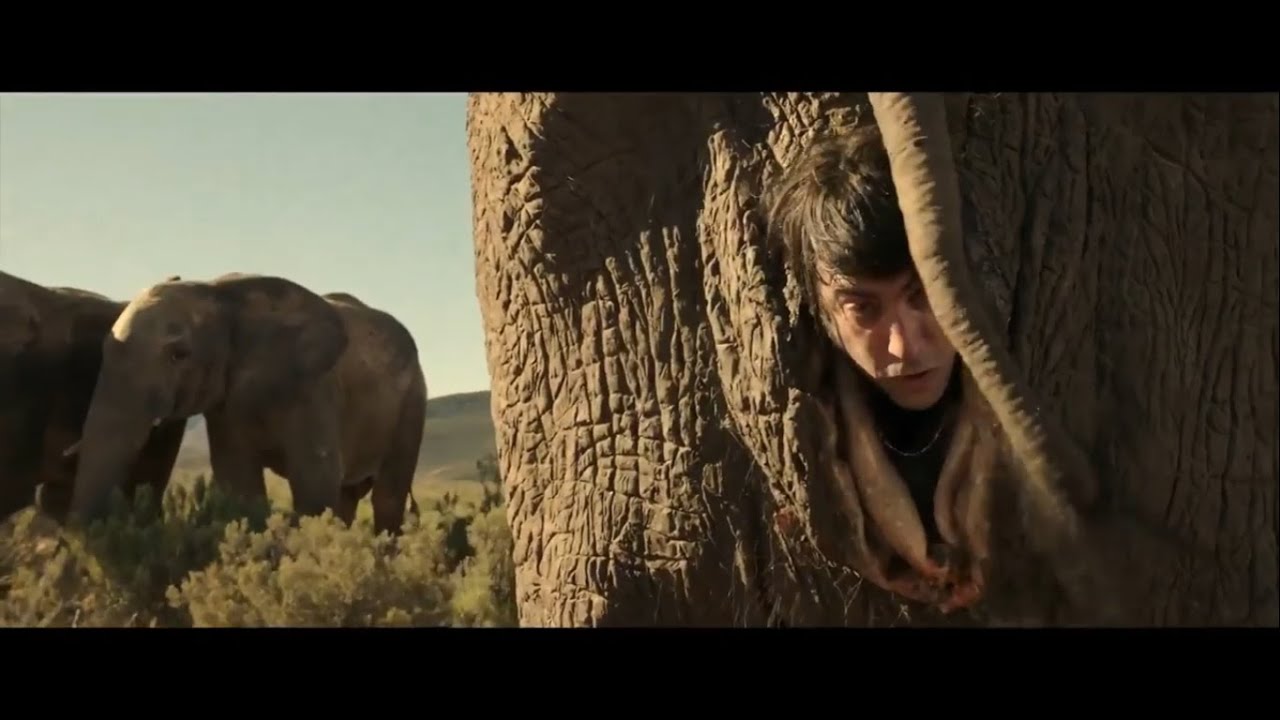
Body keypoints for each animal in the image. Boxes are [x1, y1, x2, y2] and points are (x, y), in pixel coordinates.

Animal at [66, 272, 428, 536]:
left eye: (178, 355)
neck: (218, 293)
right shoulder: (225, 405)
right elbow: (239, 481)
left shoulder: (315, 386)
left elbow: (314, 479)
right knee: (348, 498)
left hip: (413, 399)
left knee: (387, 497)